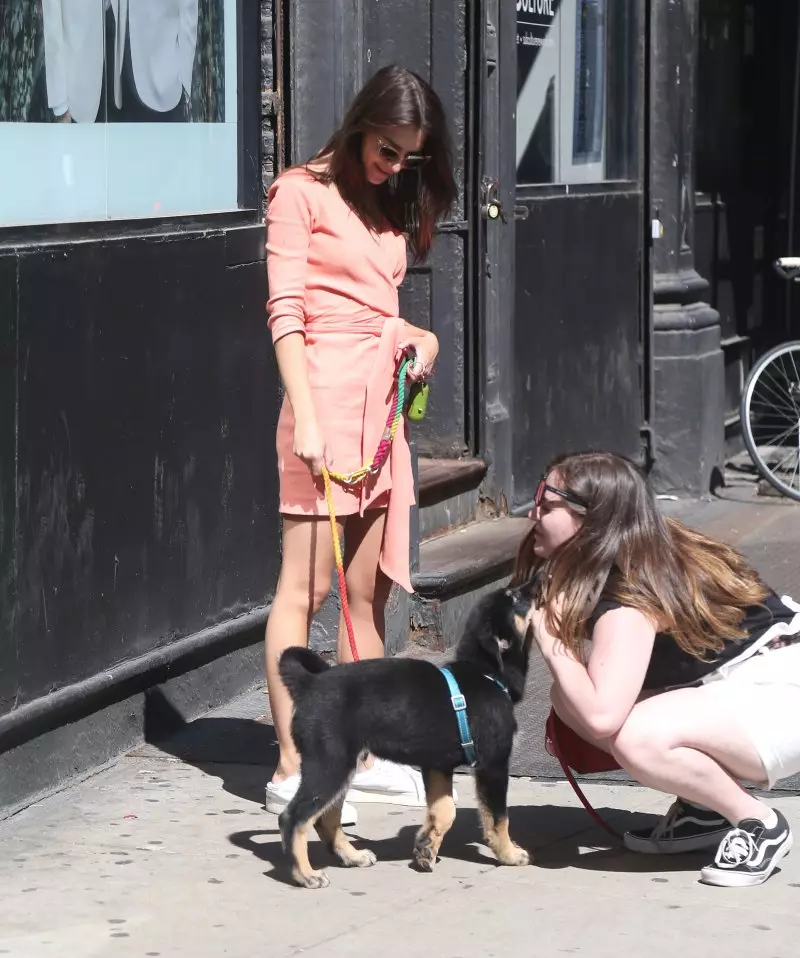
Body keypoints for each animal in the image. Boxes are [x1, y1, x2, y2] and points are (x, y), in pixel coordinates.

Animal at [278, 584, 536, 892]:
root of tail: (309, 684)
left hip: (342, 765)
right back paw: (305, 874)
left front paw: (426, 847)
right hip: (329, 763)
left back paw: (352, 856)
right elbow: (498, 818)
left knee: (326, 818)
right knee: (293, 817)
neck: (485, 673)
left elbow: (444, 809)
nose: (538, 583)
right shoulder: (493, 764)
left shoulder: (437, 764)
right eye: (514, 598)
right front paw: (509, 854)